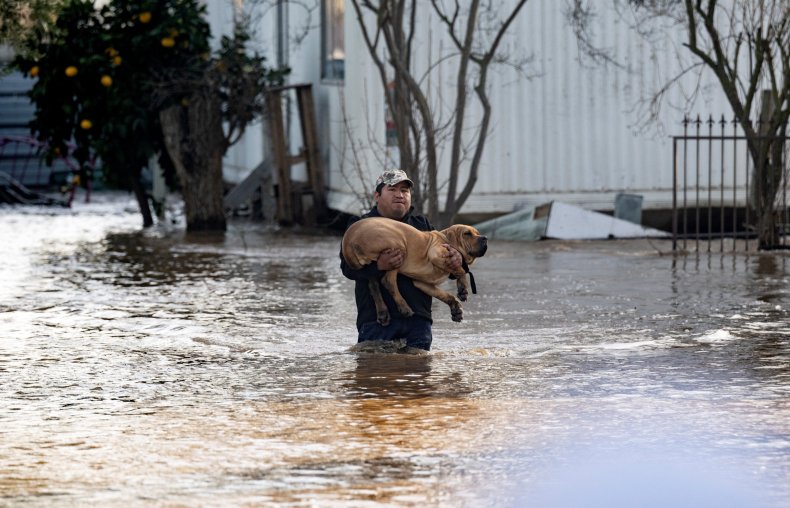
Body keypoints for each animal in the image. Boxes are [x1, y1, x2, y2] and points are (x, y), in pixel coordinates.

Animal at [342, 218, 488, 326]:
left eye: (477, 232)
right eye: (467, 234)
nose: (485, 238)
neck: (445, 237)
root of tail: (348, 238)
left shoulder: (422, 283)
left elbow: (445, 294)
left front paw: (456, 308)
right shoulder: (436, 253)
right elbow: (460, 269)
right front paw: (463, 289)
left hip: (373, 267)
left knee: (373, 286)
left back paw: (383, 313)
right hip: (398, 248)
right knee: (388, 282)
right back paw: (404, 308)